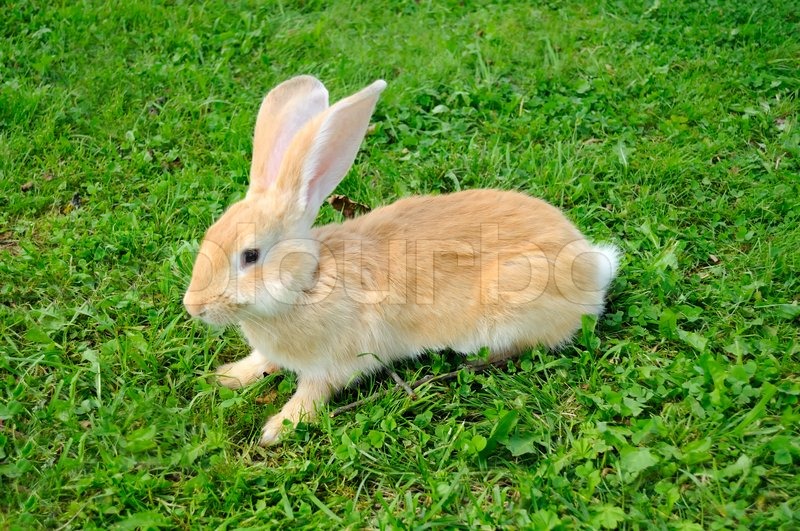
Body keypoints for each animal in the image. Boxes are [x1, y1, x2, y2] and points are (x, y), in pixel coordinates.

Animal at [183, 75, 620, 446]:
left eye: (251, 256)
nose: (193, 307)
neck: (309, 283)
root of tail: (593, 266)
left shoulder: (336, 363)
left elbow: (312, 394)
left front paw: (277, 429)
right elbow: (261, 362)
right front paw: (226, 376)